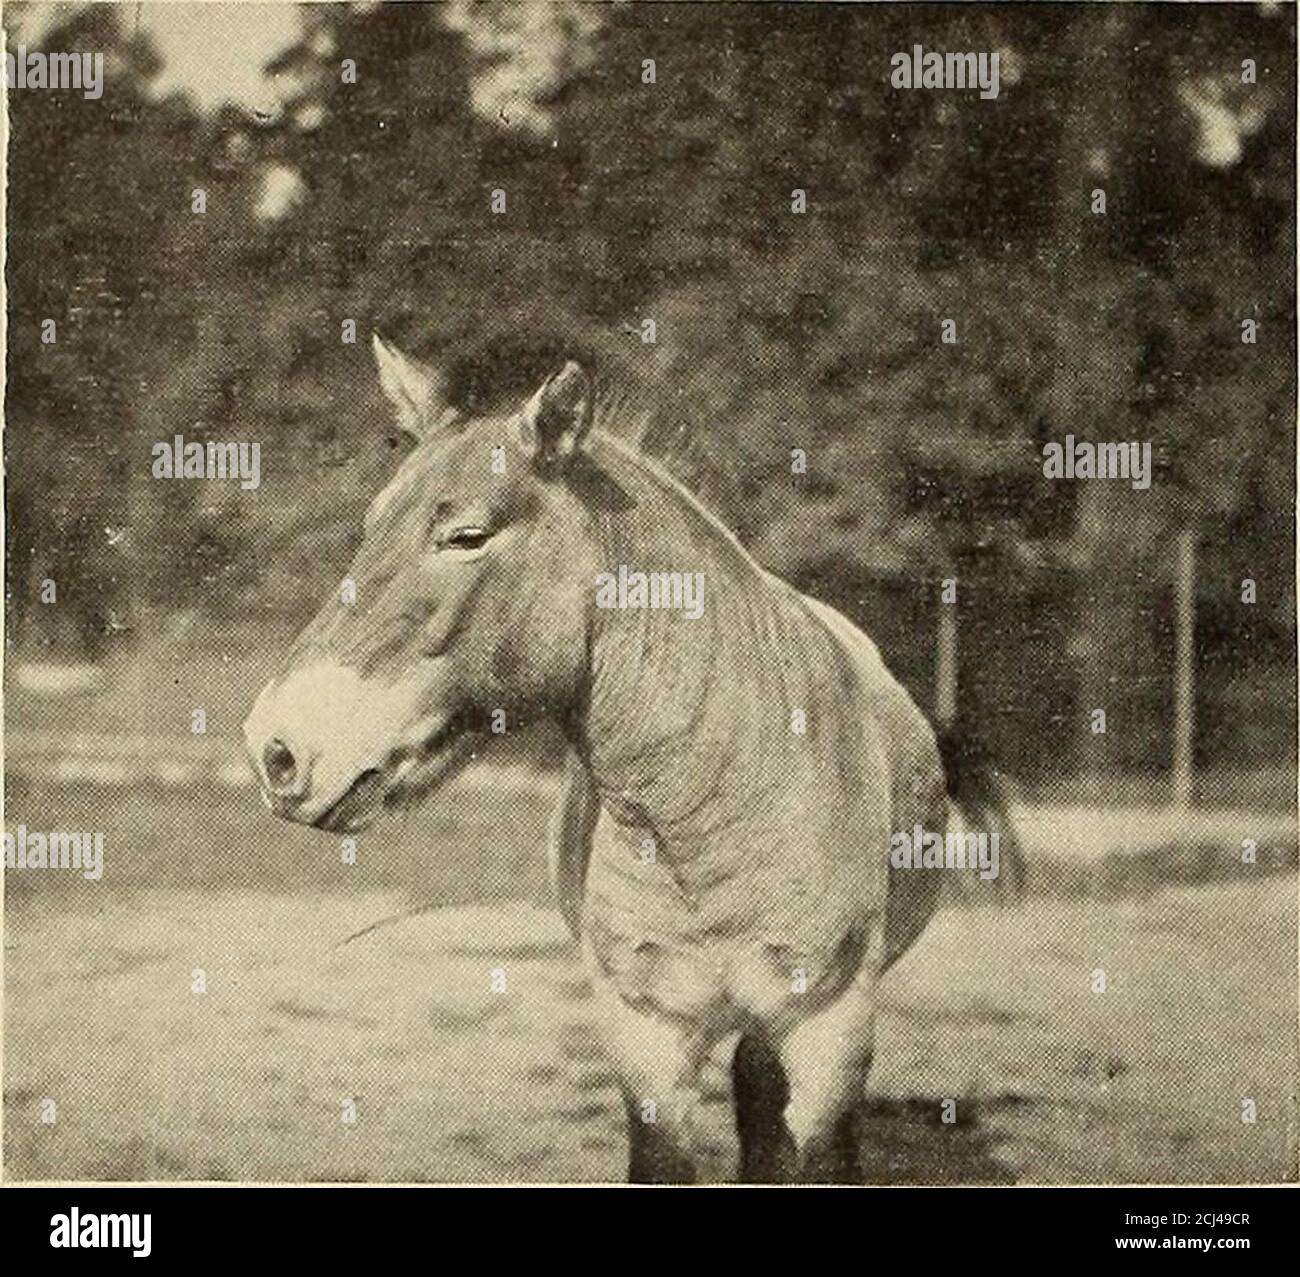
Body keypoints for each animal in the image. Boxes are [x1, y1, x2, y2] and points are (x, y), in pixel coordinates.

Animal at [244, 336, 1019, 1183]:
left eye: (467, 536)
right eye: (369, 528)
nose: (275, 748)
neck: (712, 814)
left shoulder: (830, 1036)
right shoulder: (645, 1038)